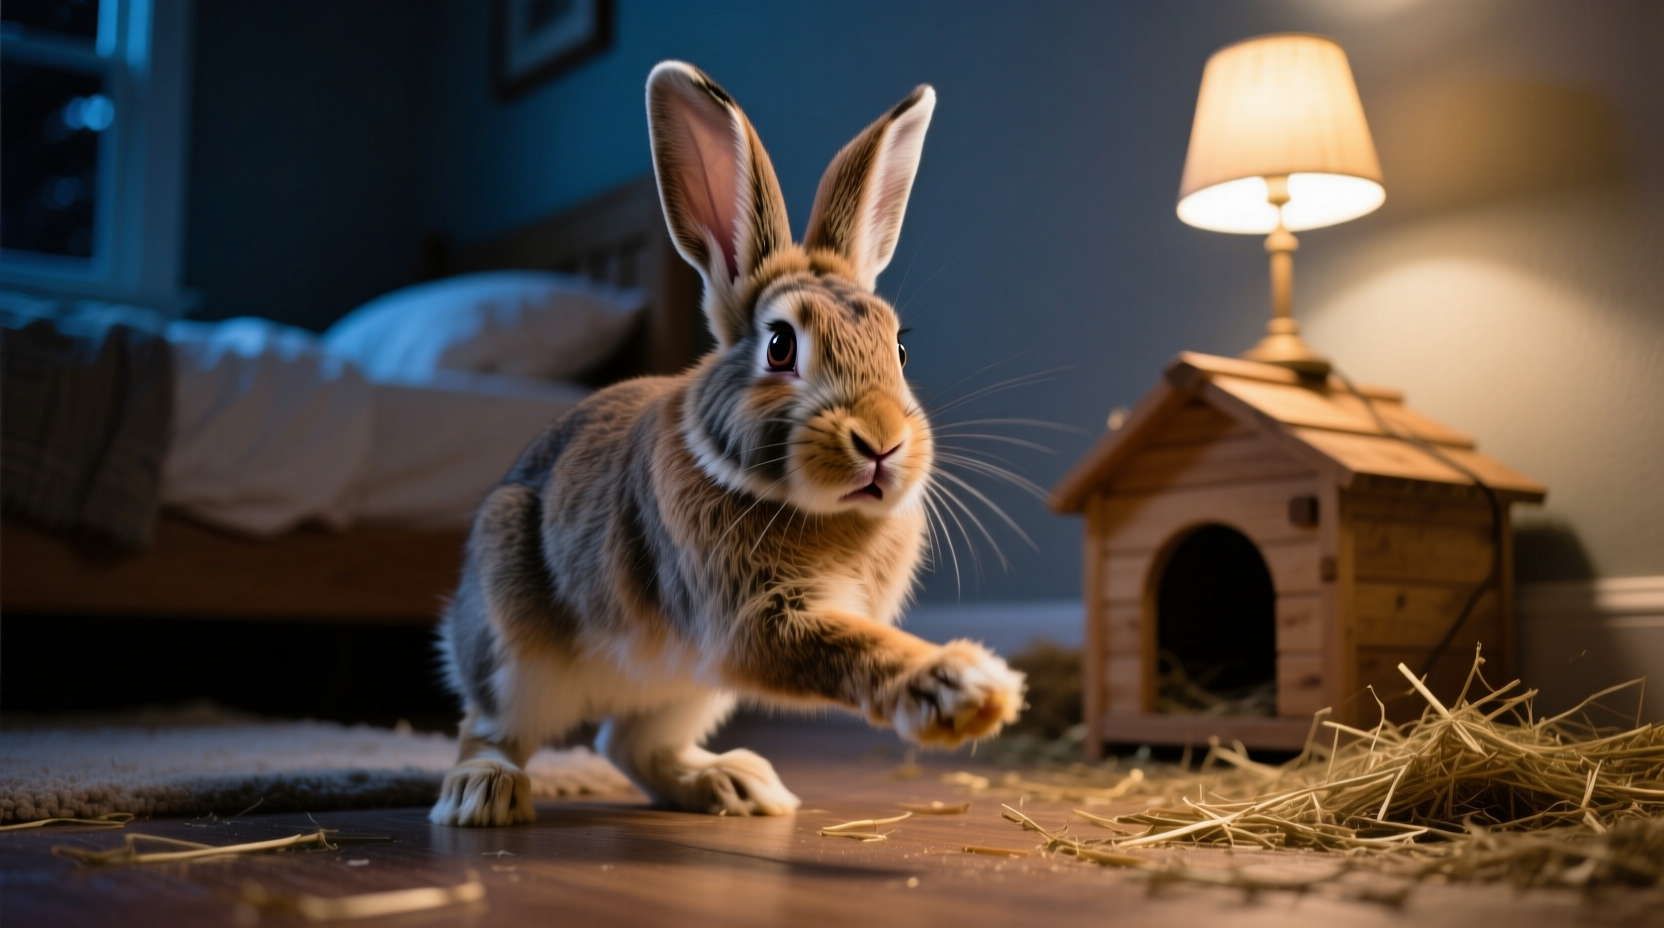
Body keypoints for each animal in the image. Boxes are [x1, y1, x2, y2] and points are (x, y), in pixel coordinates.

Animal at [428, 61, 1026, 827]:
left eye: (899, 348)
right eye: (780, 347)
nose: (883, 445)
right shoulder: (752, 621)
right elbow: (851, 646)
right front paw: (962, 686)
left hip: (688, 692)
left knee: (629, 744)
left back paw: (735, 784)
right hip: (513, 649)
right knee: (489, 727)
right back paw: (485, 794)